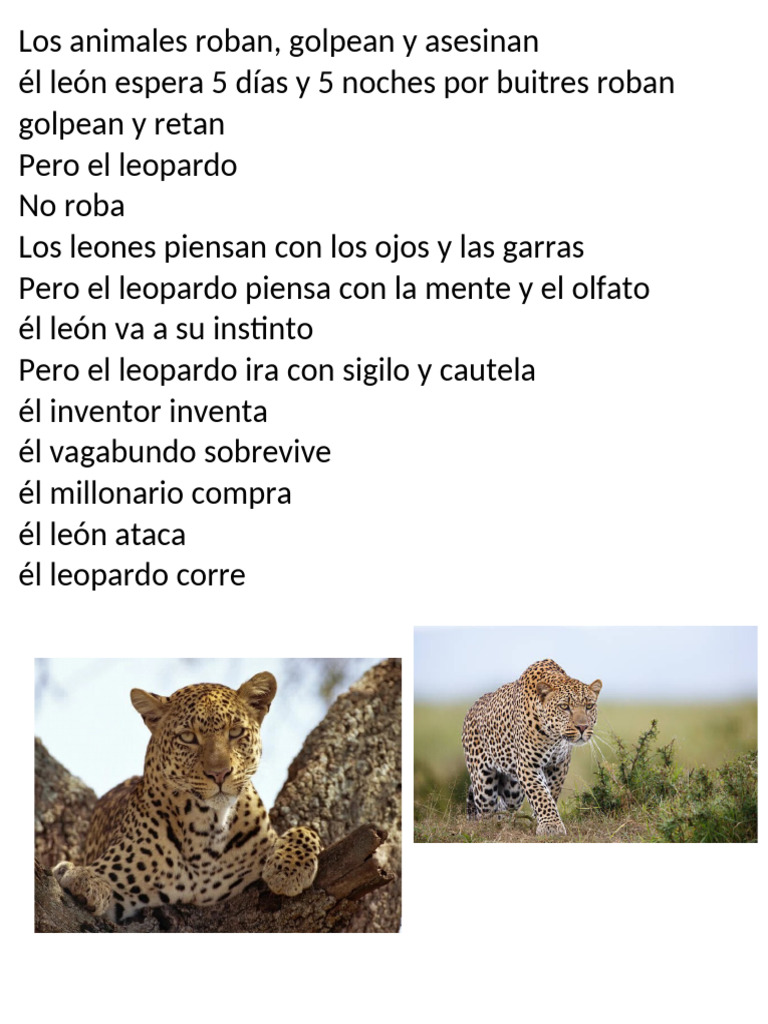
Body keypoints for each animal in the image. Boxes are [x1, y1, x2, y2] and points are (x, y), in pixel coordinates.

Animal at [53, 671, 321, 922]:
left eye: (235, 732)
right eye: (188, 737)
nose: (219, 773)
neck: (208, 828)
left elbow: (306, 830)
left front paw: (288, 870)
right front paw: (82, 878)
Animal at [461, 658, 602, 836]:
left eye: (589, 706)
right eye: (564, 707)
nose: (582, 727)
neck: (553, 736)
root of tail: (472, 708)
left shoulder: (559, 765)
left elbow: (550, 792)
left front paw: (540, 820)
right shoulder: (528, 765)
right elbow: (540, 794)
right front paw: (551, 825)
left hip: (513, 790)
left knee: (504, 806)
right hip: (483, 782)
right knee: (486, 811)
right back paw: (492, 827)